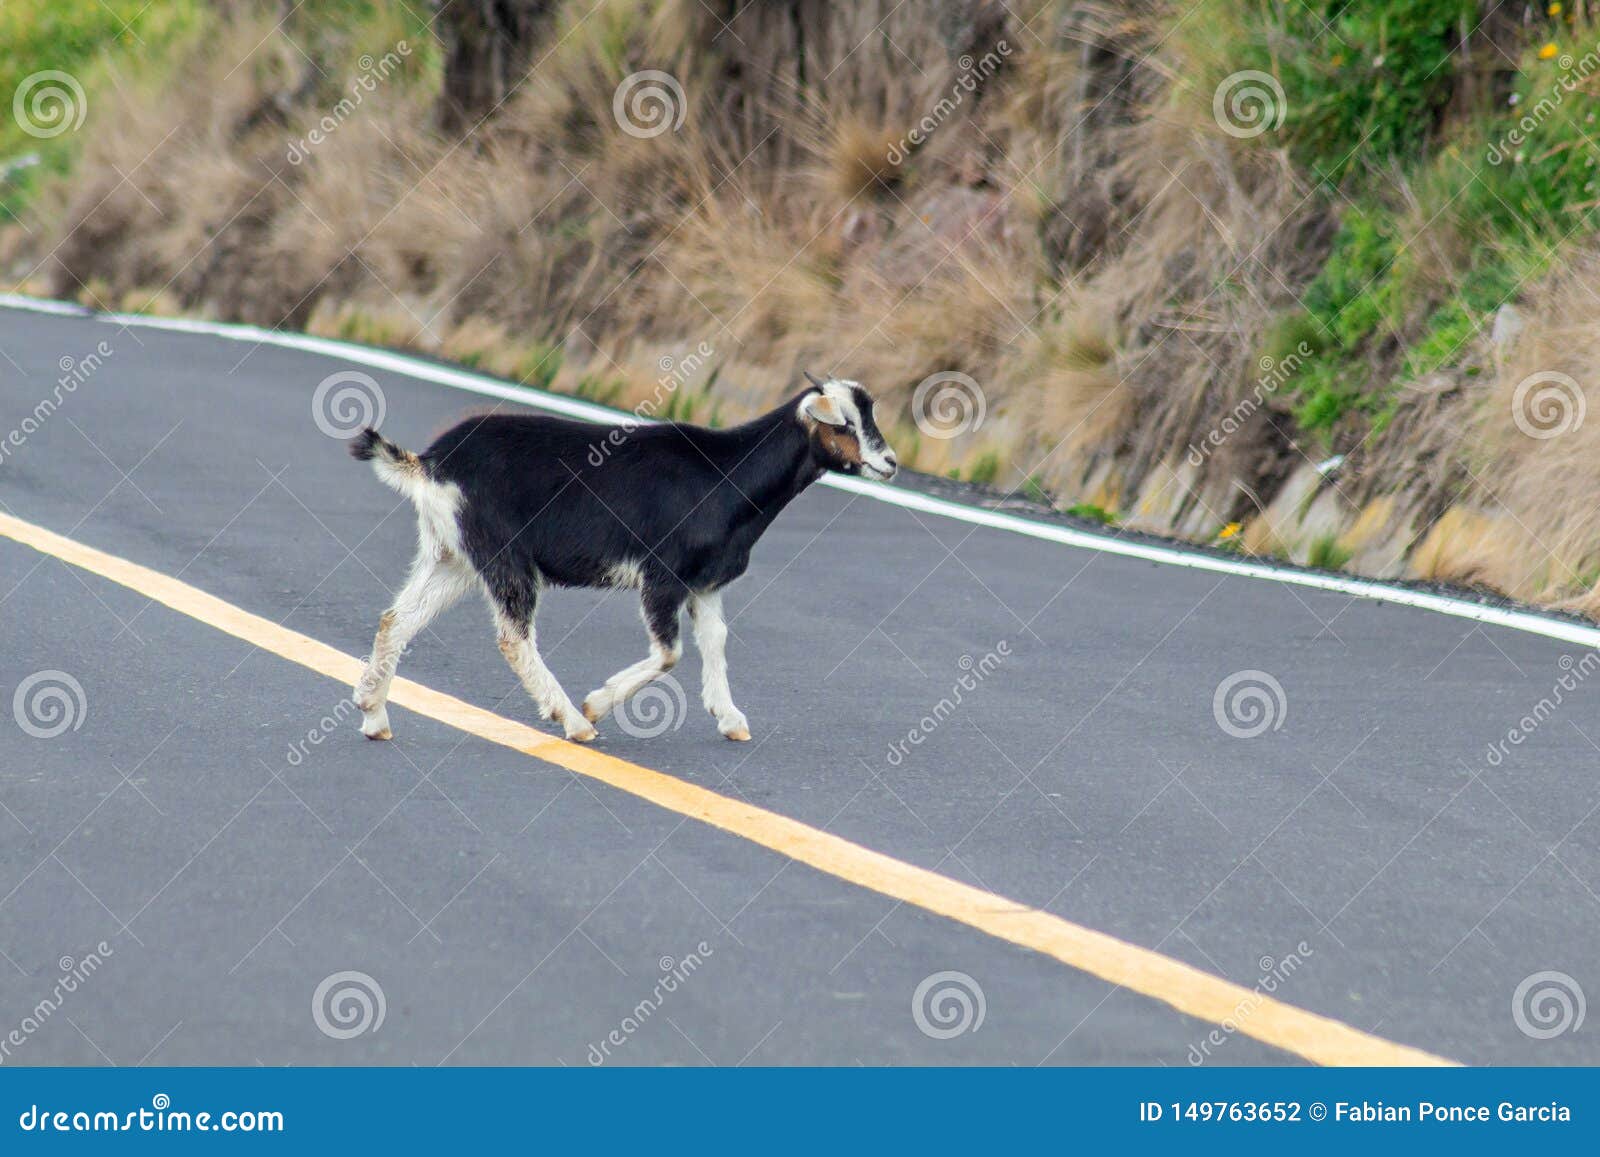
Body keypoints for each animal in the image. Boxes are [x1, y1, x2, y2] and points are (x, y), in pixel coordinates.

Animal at [348, 373, 897, 743]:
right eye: (846, 423)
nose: (890, 463)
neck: (727, 475)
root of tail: (430, 463)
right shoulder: (662, 576)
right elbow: (670, 652)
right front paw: (596, 705)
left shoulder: (705, 583)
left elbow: (715, 641)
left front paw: (731, 719)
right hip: (506, 557)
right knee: (513, 638)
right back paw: (573, 722)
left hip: (454, 556)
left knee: (397, 618)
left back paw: (373, 714)